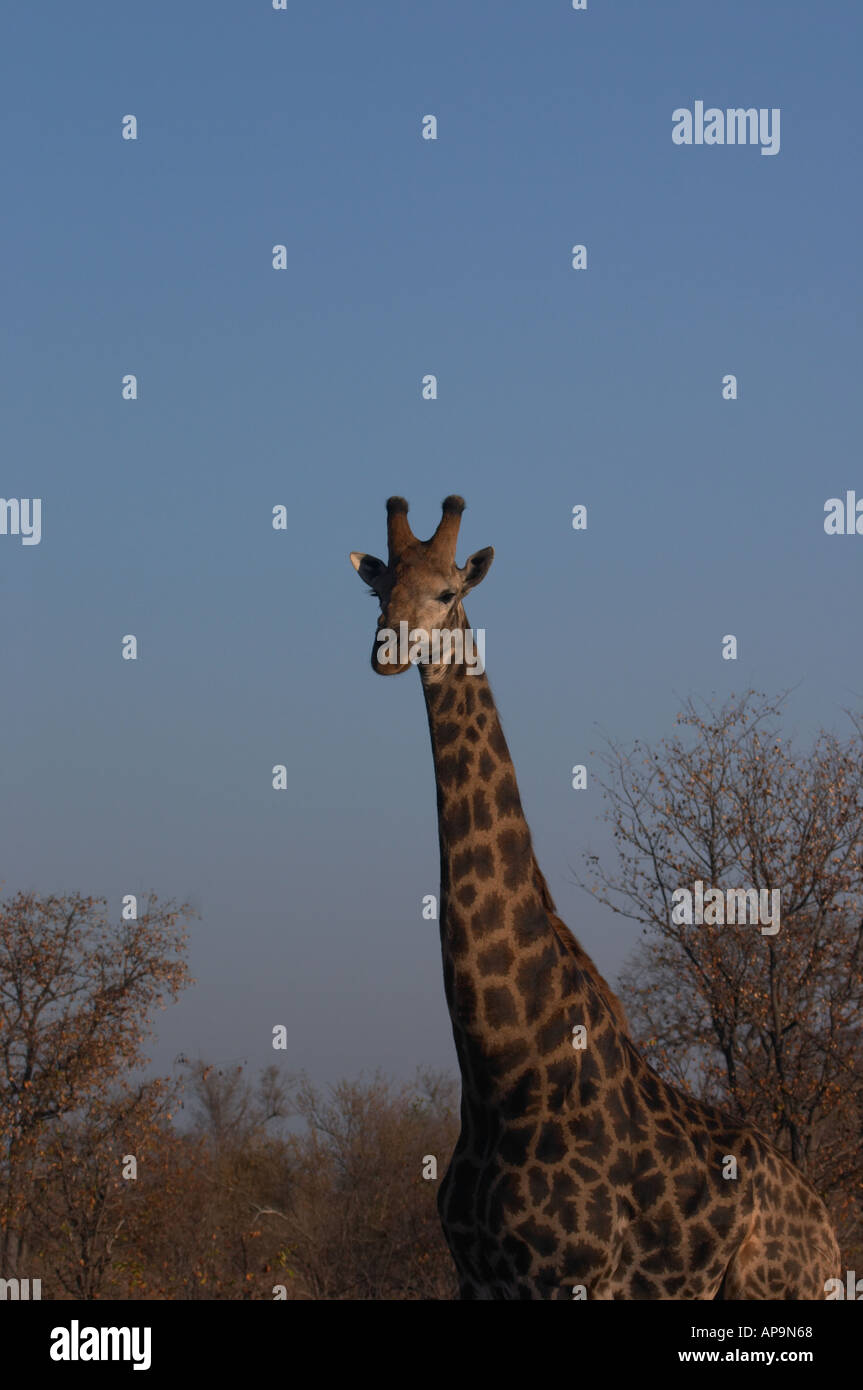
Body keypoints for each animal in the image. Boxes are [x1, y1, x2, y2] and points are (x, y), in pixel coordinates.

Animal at [350, 495, 841, 1301]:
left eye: (447, 593)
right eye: (377, 591)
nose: (387, 652)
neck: (504, 1071)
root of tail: (829, 1236)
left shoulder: (570, 1277)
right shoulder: (476, 1277)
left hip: (771, 1286)